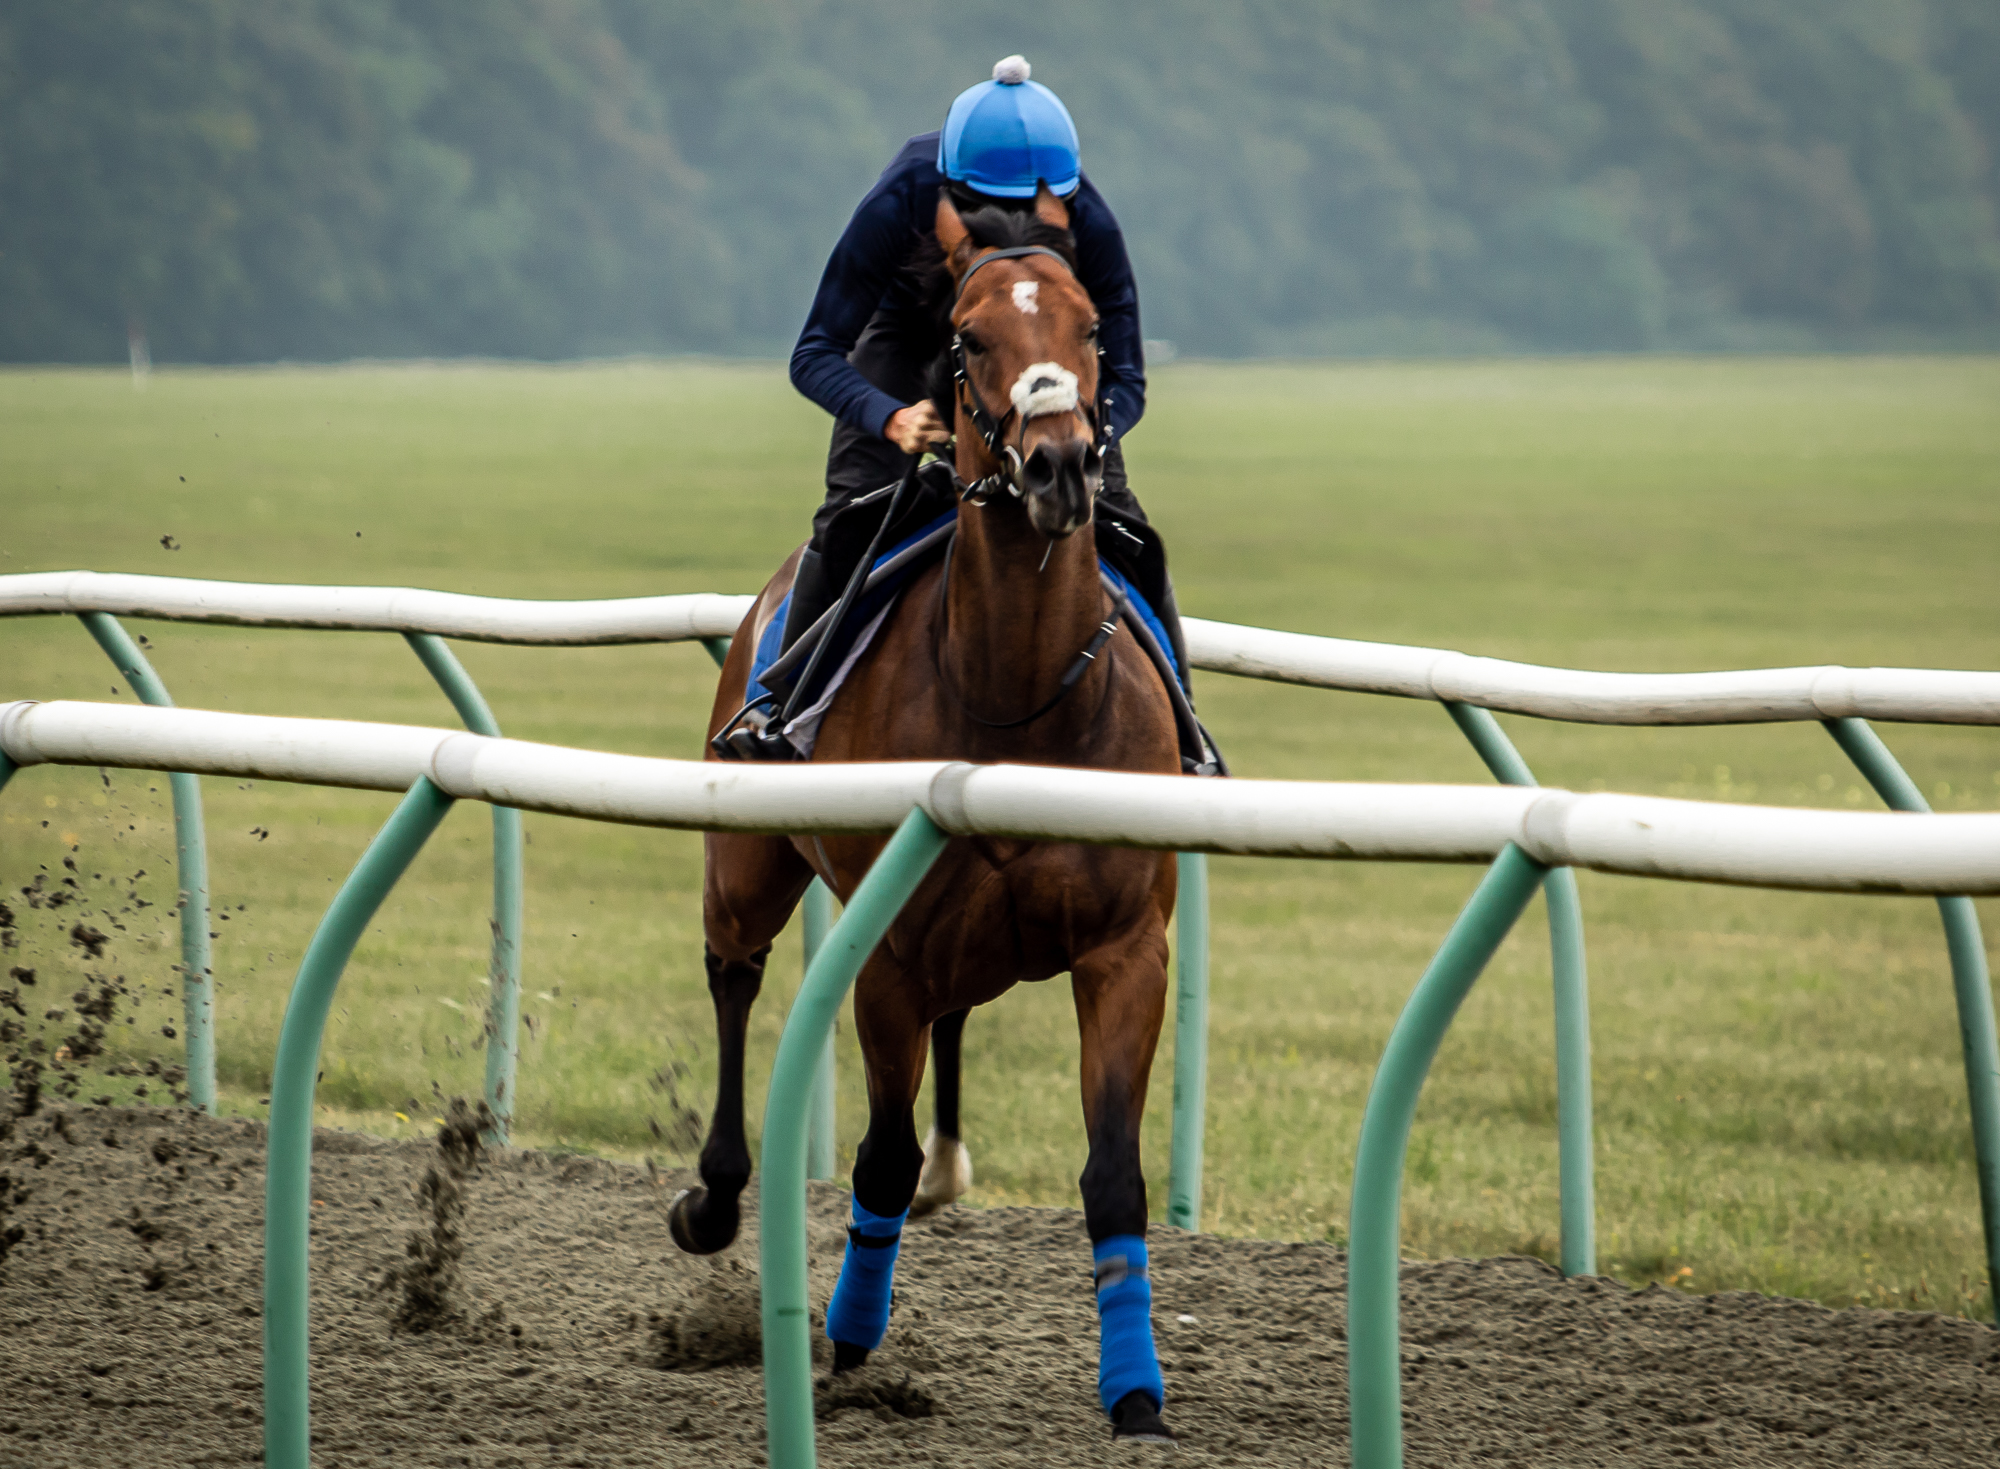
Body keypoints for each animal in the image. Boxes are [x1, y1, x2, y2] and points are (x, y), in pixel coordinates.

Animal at [676, 184, 1183, 1444]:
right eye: (965, 339)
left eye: (1089, 326)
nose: (1057, 467)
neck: (1013, 697)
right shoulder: (888, 953)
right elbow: (879, 1157)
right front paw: (849, 1341)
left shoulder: (1125, 948)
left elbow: (1111, 1172)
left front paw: (1135, 1392)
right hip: (746, 857)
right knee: (732, 970)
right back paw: (714, 1193)